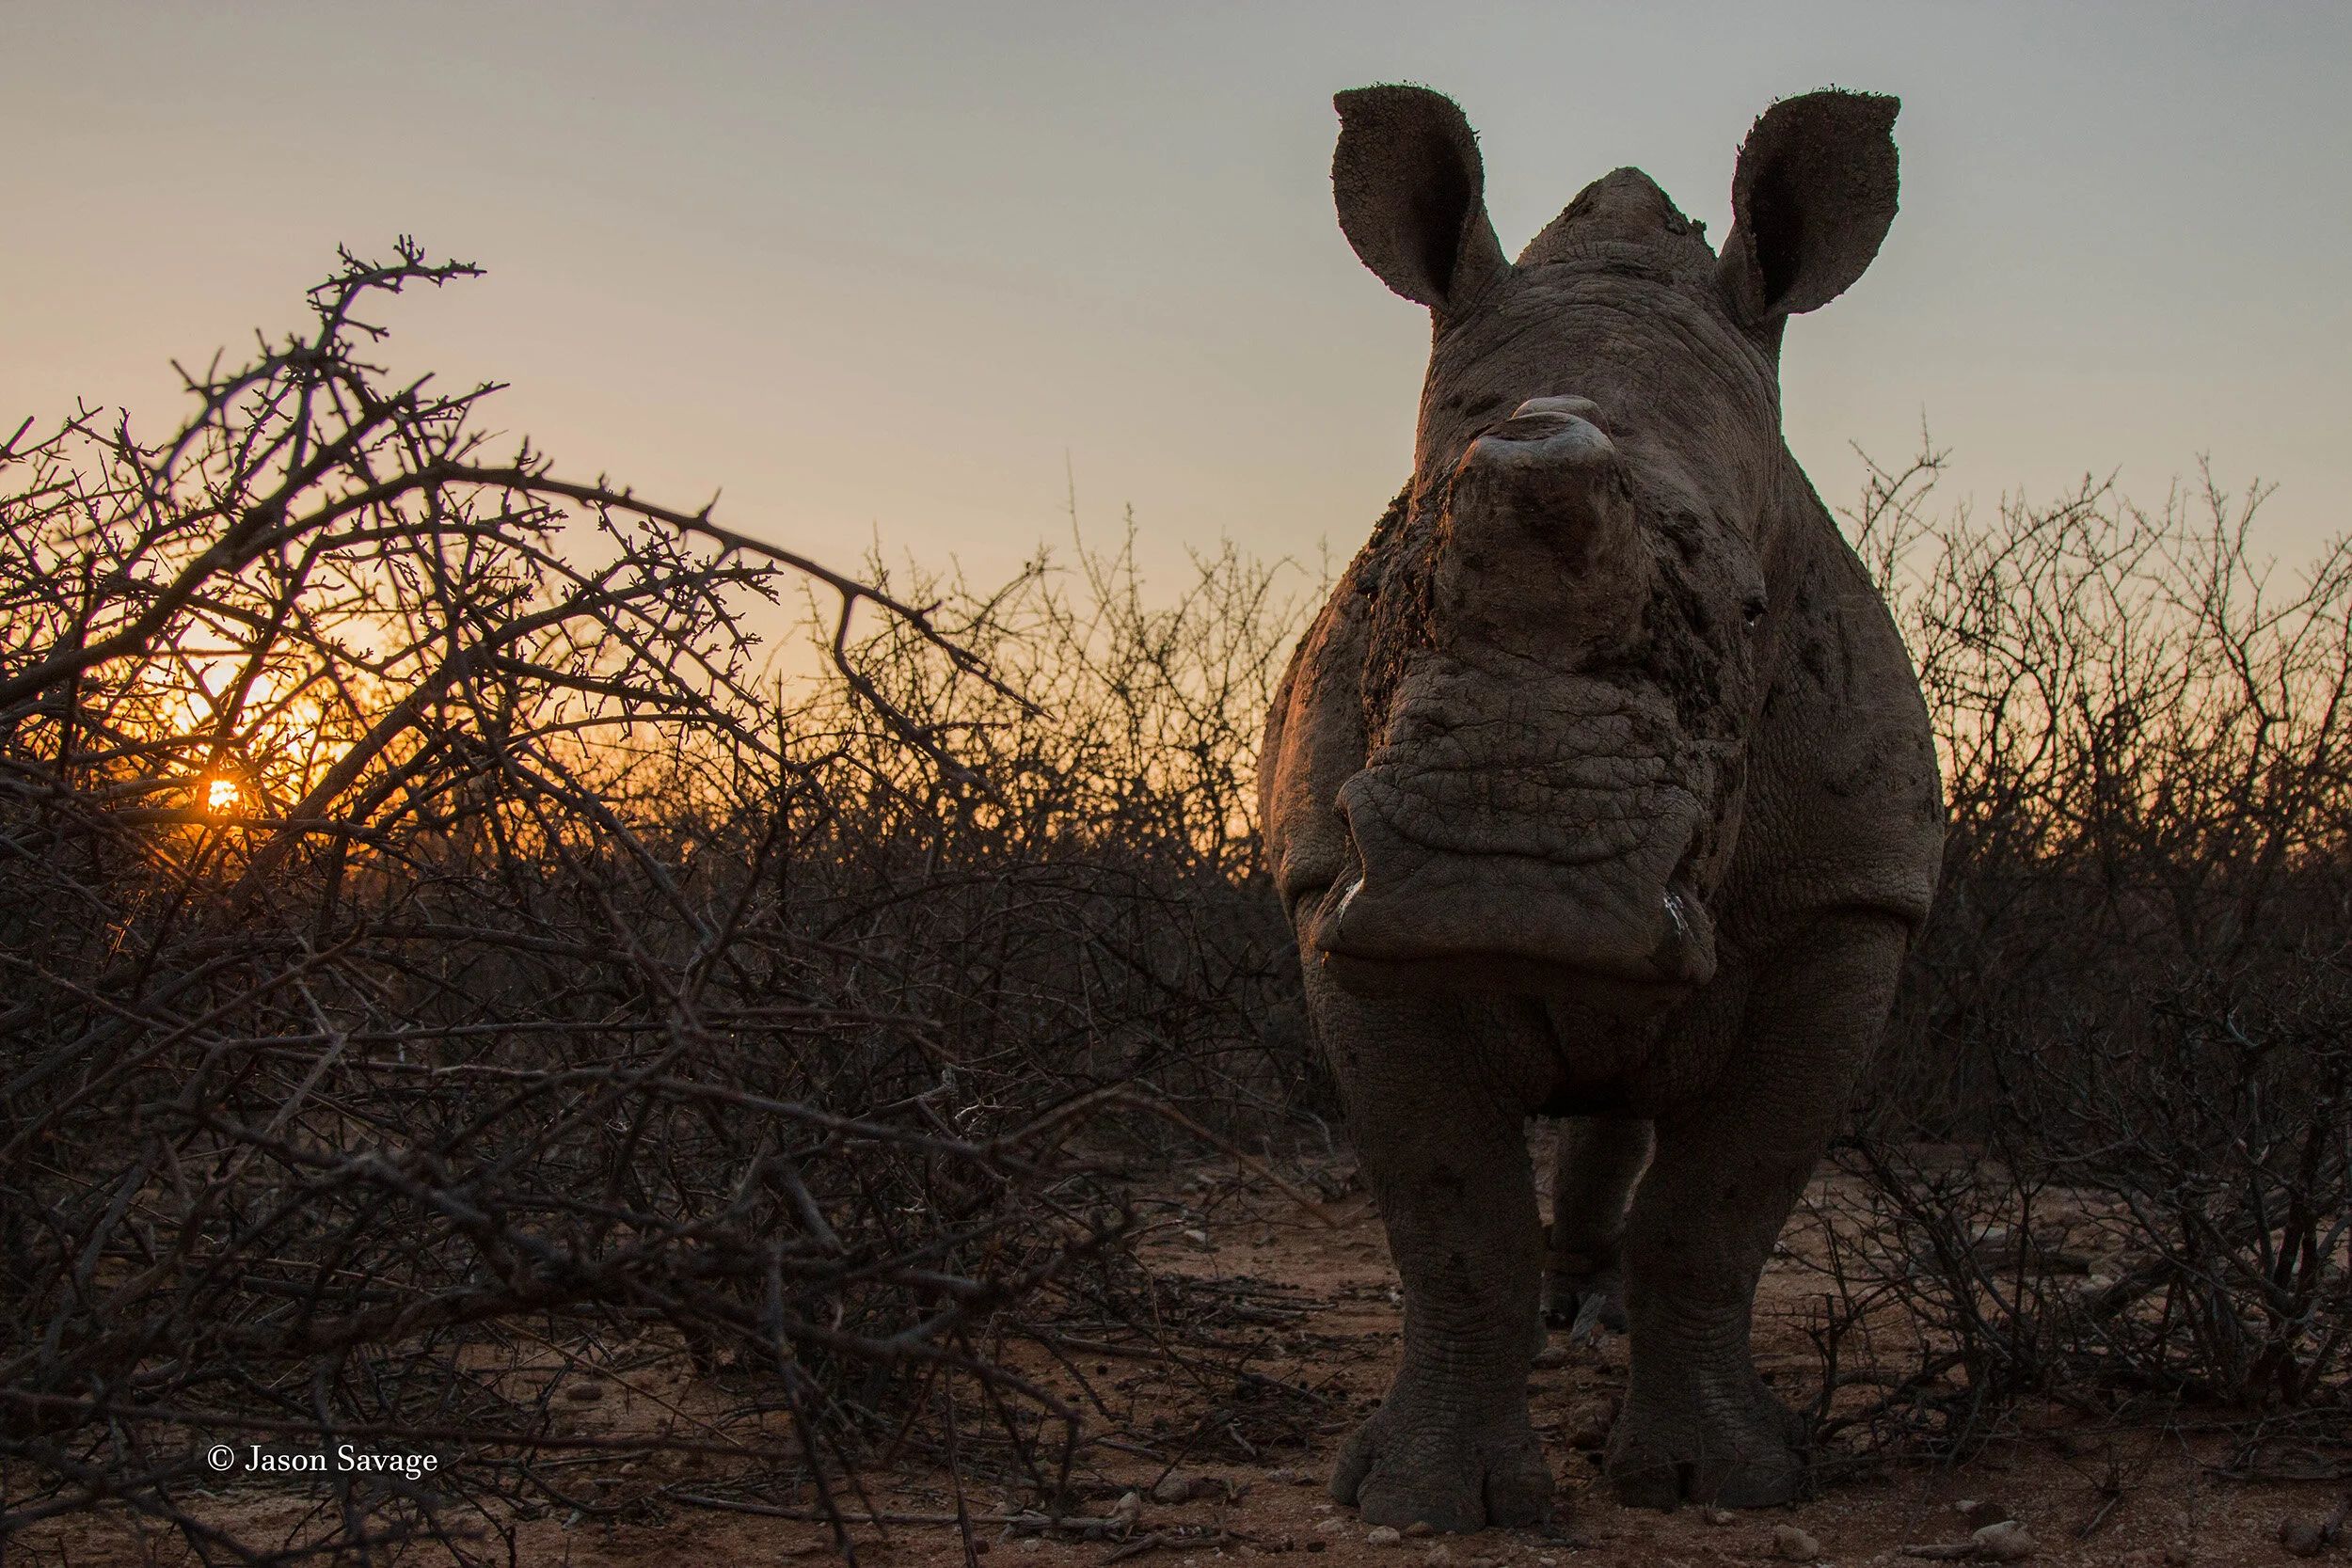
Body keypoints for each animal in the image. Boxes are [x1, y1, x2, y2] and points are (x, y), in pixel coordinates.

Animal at [1259, 86, 1944, 1528]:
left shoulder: (1853, 899)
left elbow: (1720, 1206)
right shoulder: (1329, 883)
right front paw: (1422, 1498)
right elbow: (1450, 1209)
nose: (1506, 881)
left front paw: (1727, 1479)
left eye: (1754, 609)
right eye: (1384, 587)